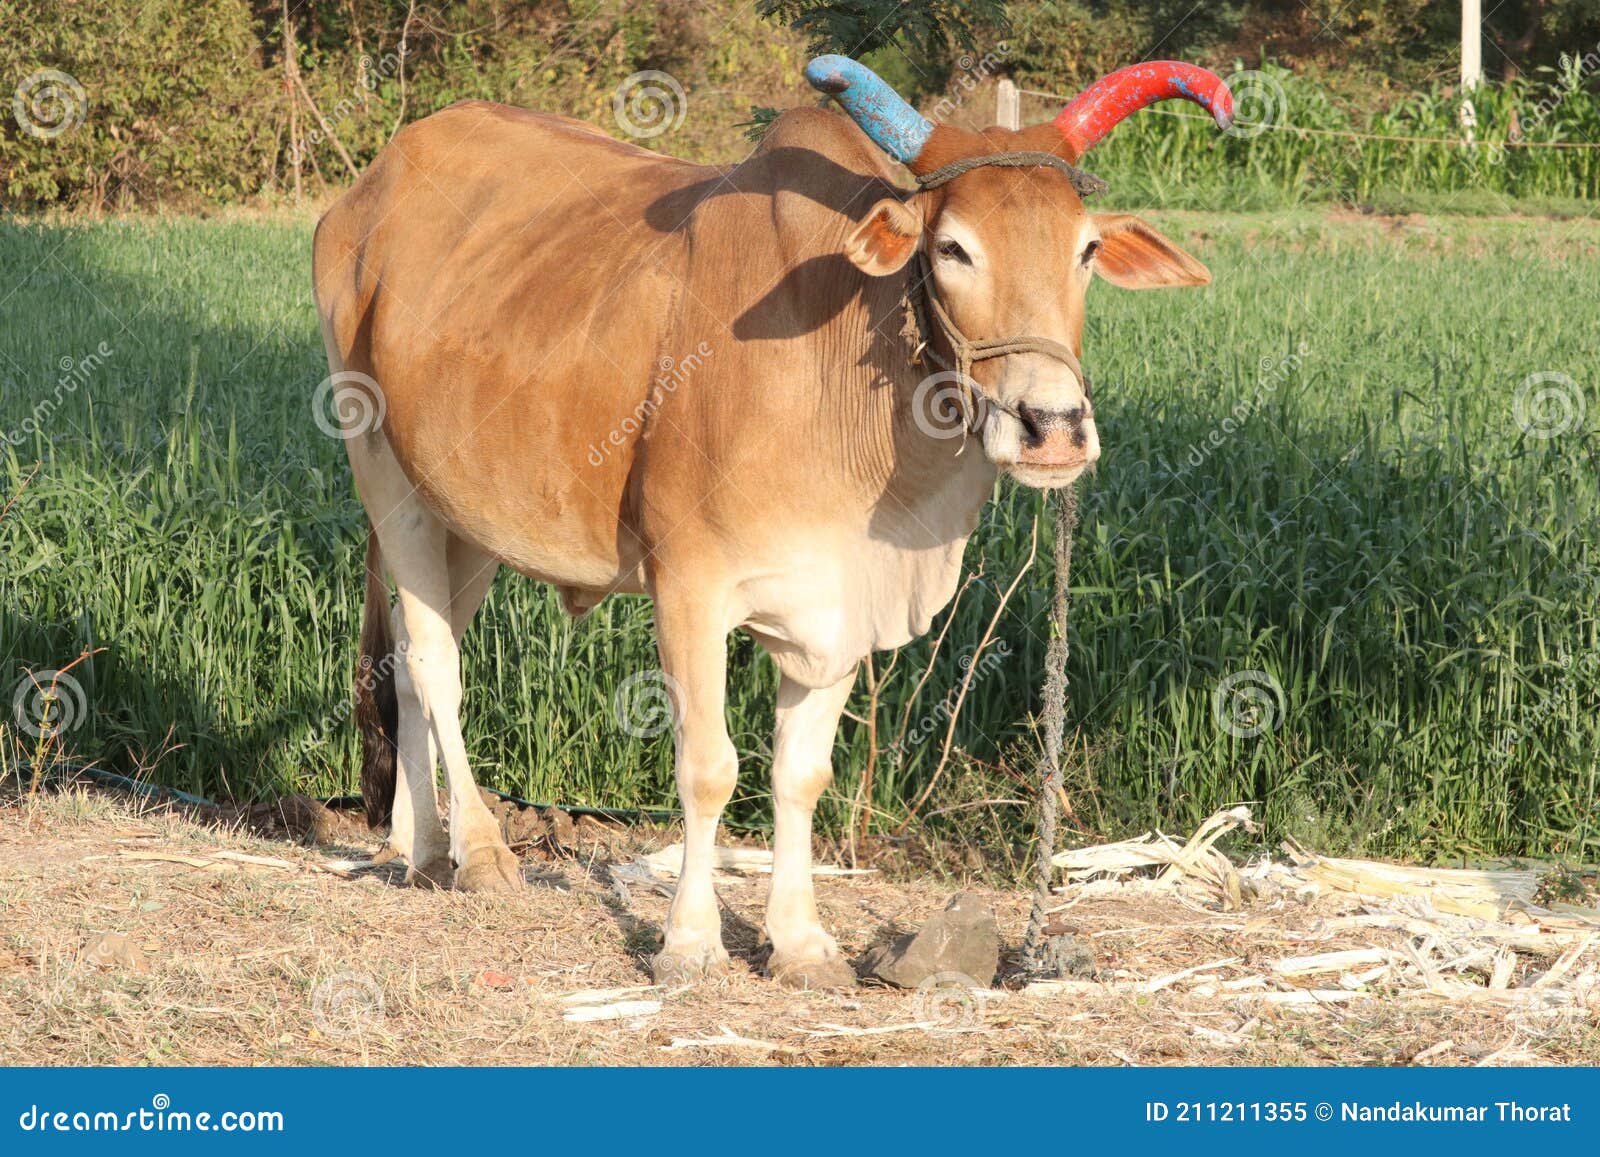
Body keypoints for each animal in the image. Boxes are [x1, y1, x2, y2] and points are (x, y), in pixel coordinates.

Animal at [312, 56, 1233, 989]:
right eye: (953, 248)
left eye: (1086, 249)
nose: (1054, 426)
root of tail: (374, 186)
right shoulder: (688, 586)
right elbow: (709, 767)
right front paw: (689, 939)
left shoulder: (844, 606)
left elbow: (801, 774)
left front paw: (800, 941)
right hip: (384, 471)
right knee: (434, 663)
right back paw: (484, 851)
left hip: (467, 518)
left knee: (409, 661)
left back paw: (423, 845)